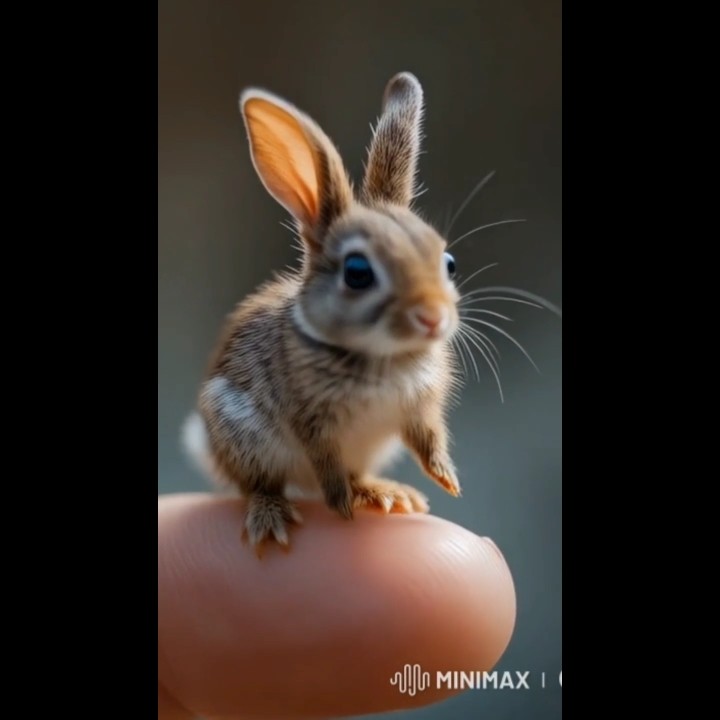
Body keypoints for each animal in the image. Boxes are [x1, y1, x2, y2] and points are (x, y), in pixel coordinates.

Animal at [182, 71, 465, 557]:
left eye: (448, 263)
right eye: (357, 272)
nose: (433, 318)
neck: (383, 354)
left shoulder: (418, 410)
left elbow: (428, 439)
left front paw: (445, 479)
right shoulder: (311, 423)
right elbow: (326, 465)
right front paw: (342, 506)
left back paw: (384, 493)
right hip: (239, 433)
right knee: (258, 484)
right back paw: (272, 517)